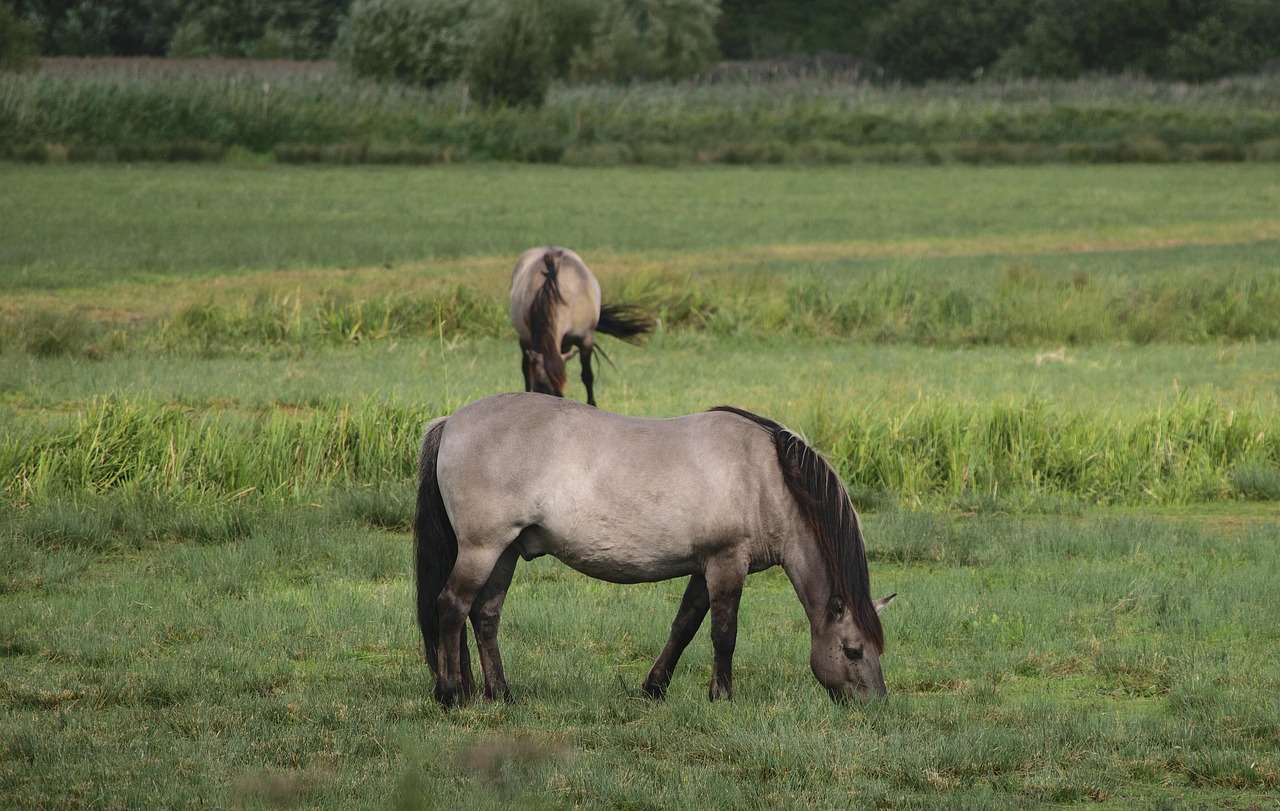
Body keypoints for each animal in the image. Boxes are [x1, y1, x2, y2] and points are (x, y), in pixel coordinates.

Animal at [414, 392, 895, 707]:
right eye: (853, 650)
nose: (875, 704)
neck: (764, 477)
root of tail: (451, 421)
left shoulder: (705, 567)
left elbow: (684, 626)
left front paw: (655, 688)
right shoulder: (726, 563)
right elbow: (723, 633)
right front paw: (723, 696)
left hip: (506, 552)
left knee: (485, 615)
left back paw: (500, 694)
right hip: (482, 548)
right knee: (452, 605)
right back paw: (451, 694)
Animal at [509, 246, 652, 407]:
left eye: (555, 391)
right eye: (538, 389)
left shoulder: (586, 340)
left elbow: (587, 376)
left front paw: (592, 404)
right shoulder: (529, 340)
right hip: (524, 339)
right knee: (526, 369)